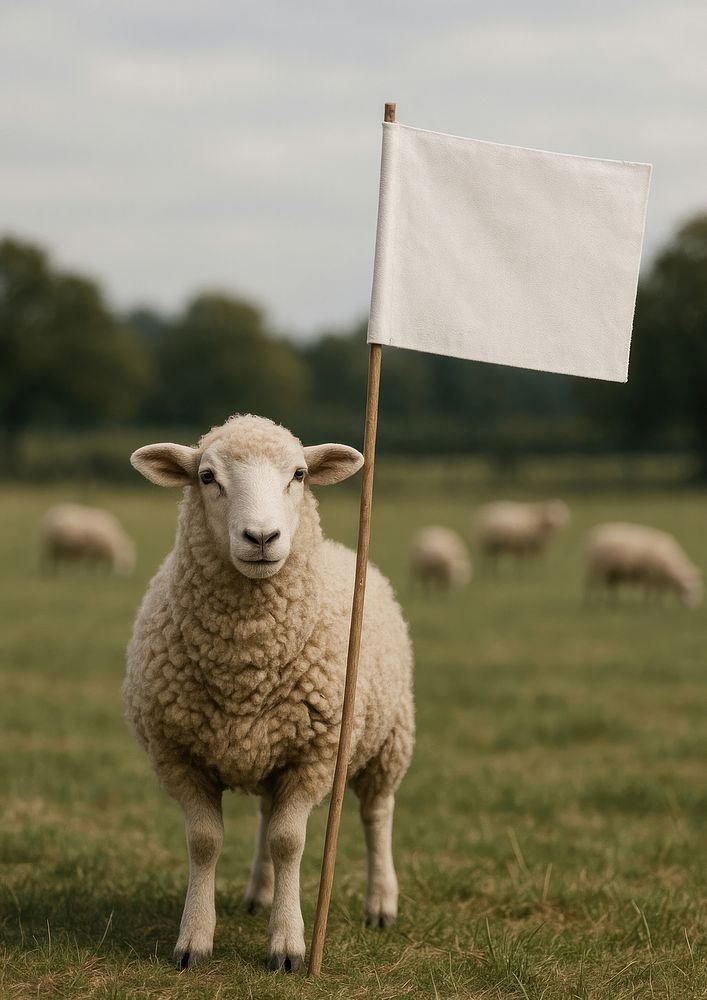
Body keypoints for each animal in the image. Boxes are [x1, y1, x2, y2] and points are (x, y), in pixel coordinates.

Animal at [123, 414, 414, 973]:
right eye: (207, 477)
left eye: (299, 474)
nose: (262, 537)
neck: (247, 665)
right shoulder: (178, 753)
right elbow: (205, 842)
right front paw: (194, 939)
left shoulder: (315, 755)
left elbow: (288, 841)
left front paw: (289, 945)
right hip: (265, 750)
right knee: (264, 814)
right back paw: (259, 894)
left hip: (388, 739)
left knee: (377, 814)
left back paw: (381, 903)